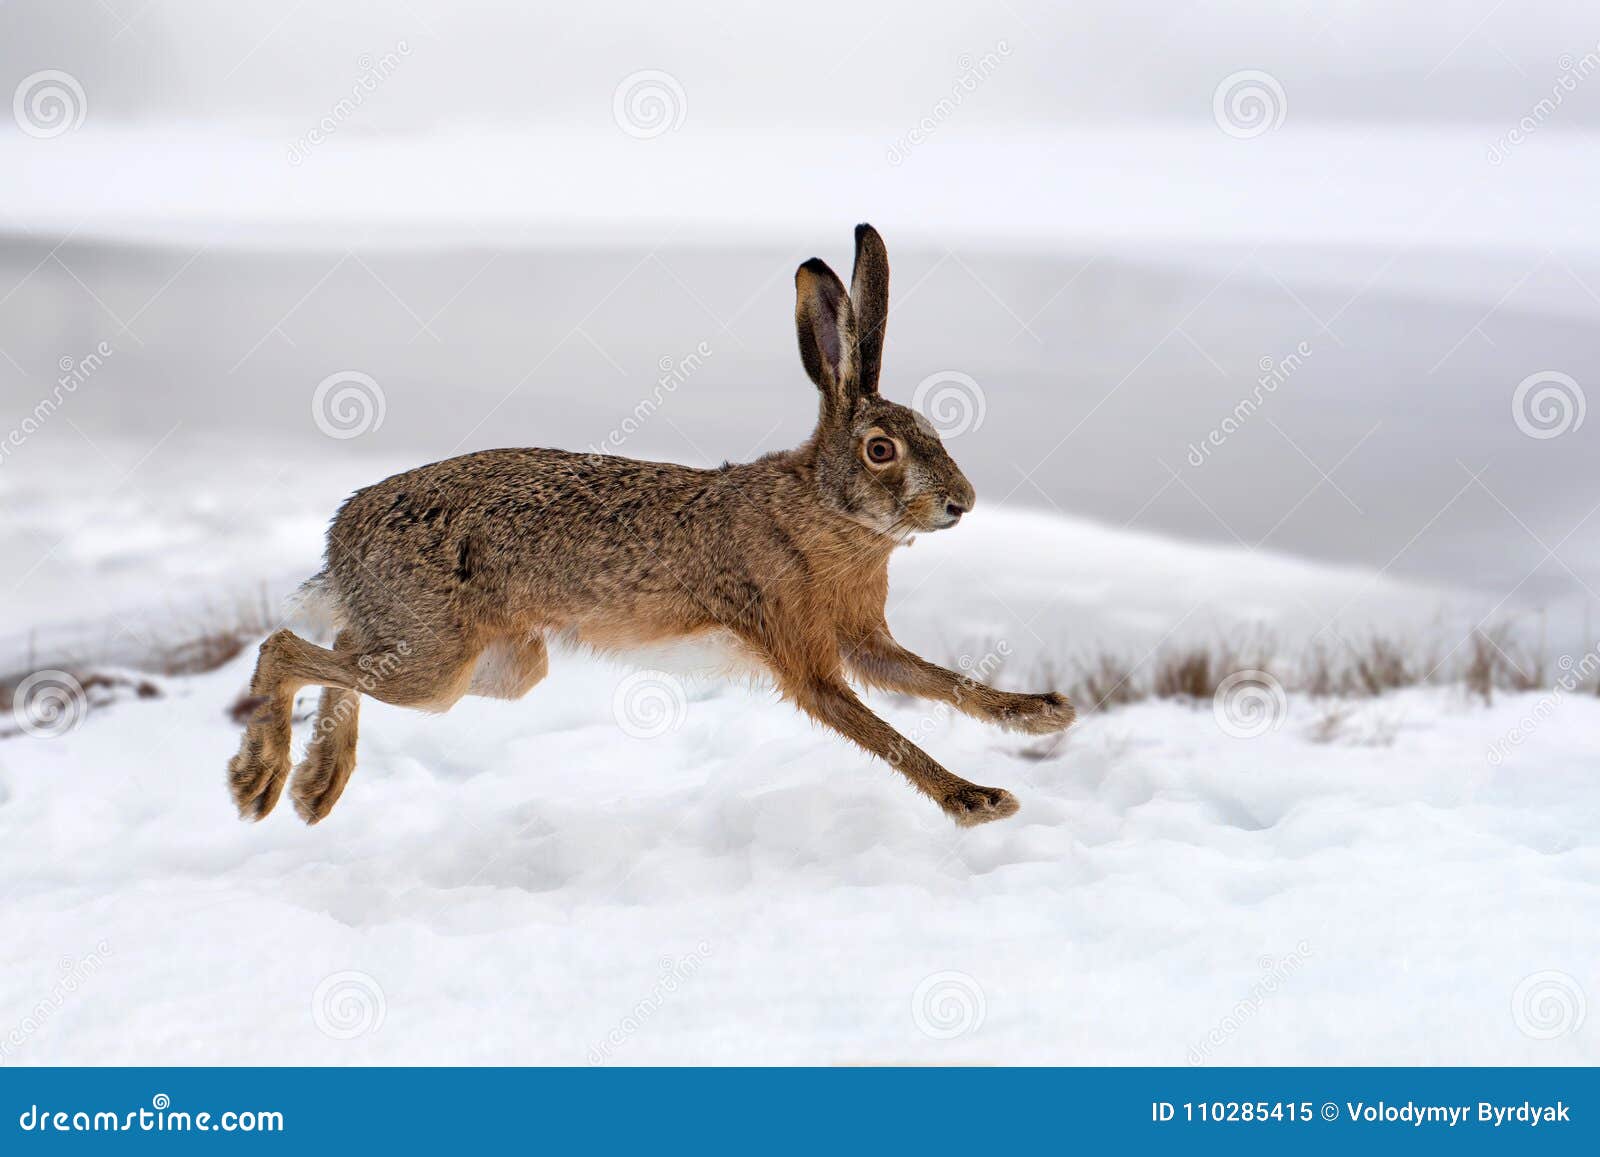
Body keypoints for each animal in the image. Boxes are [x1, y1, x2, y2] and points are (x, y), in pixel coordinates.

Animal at [227, 224, 1075, 828]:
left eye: (935, 428)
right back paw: (258, 779)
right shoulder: (801, 653)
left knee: (339, 643)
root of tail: (342, 534)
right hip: (438, 662)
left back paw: (316, 786)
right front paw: (977, 800)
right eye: (881, 449)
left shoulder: (864, 638)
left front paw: (1040, 713)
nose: (962, 502)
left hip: (497, 665)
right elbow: (880, 730)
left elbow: (942, 680)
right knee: (284, 647)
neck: (823, 511)